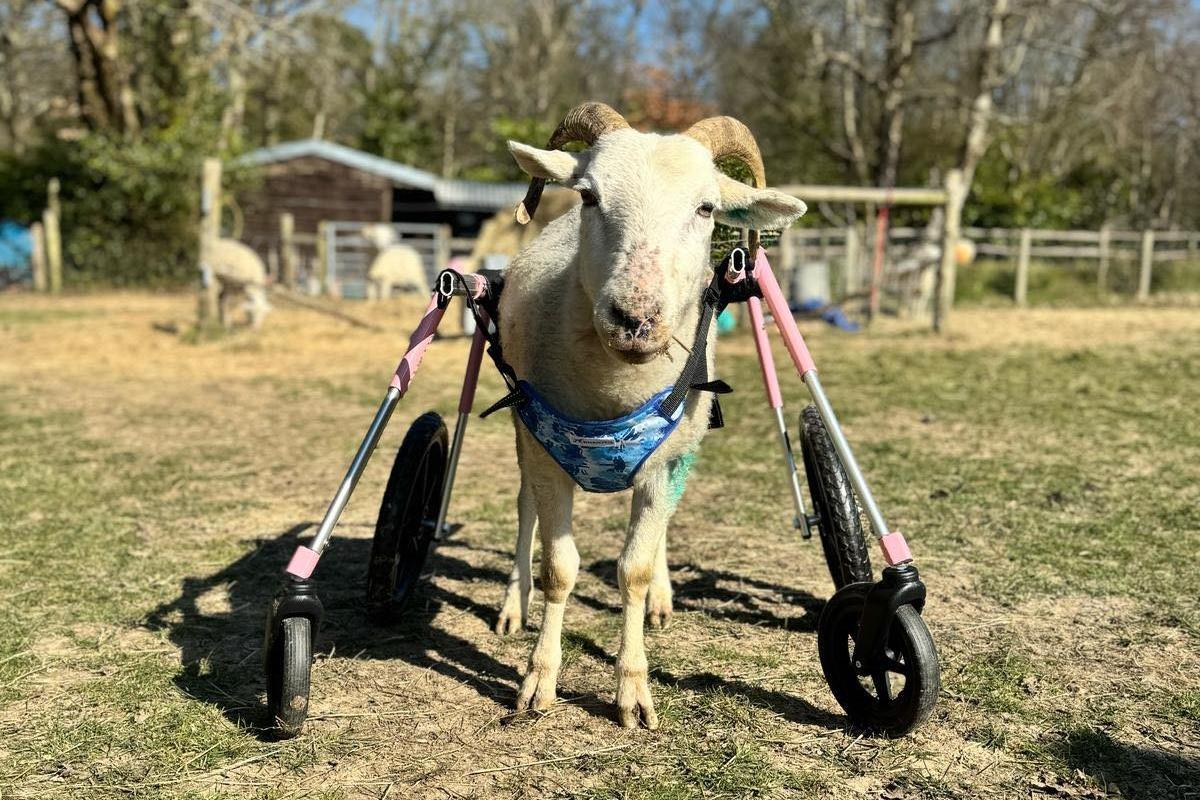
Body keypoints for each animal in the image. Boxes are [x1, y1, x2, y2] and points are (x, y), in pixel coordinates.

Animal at [495, 103, 807, 728]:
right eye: (588, 195)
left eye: (706, 207)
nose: (634, 318)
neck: (613, 396)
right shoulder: (545, 454)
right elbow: (558, 568)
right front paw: (539, 679)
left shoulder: (668, 462)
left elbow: (632, 570)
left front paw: (633, 689)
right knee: (523, 511)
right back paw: (514, 604)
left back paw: (661, 598)